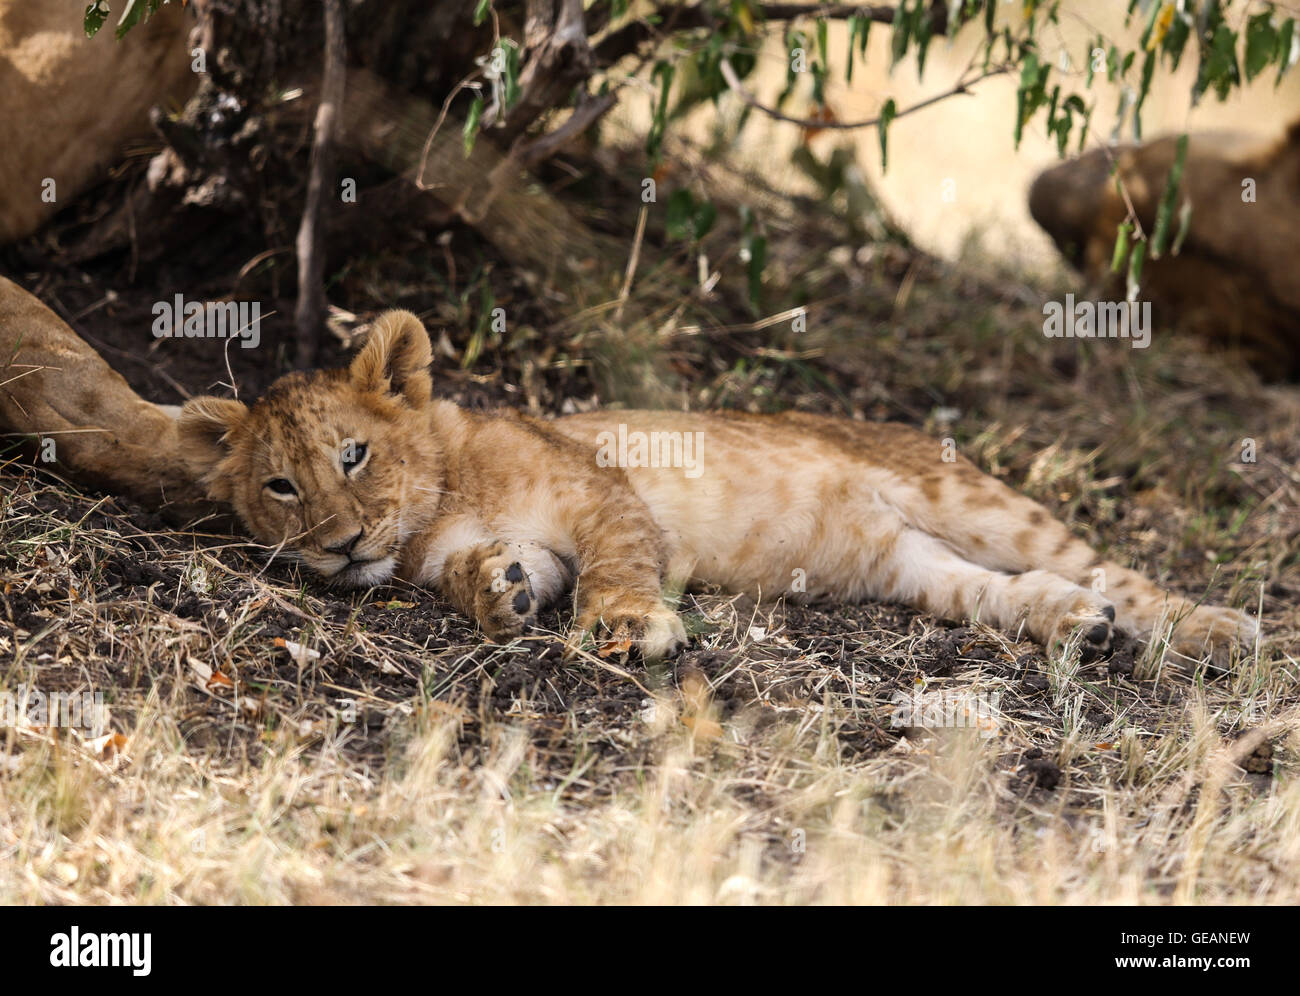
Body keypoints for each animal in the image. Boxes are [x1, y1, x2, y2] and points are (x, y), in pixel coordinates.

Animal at [166, 310, 1258, 664]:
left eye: (352, 456)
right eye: (280, 485)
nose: (342, 544)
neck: (442, 494)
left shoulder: (600, 489)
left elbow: (618, 562)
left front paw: (625, 627)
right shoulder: (515, 542)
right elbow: (504, 574)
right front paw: (498, 594)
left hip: (978, 503)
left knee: (1119, 573)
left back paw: (1216, 628)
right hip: (916, 569)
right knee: (1007, 593)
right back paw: (1074, 624)